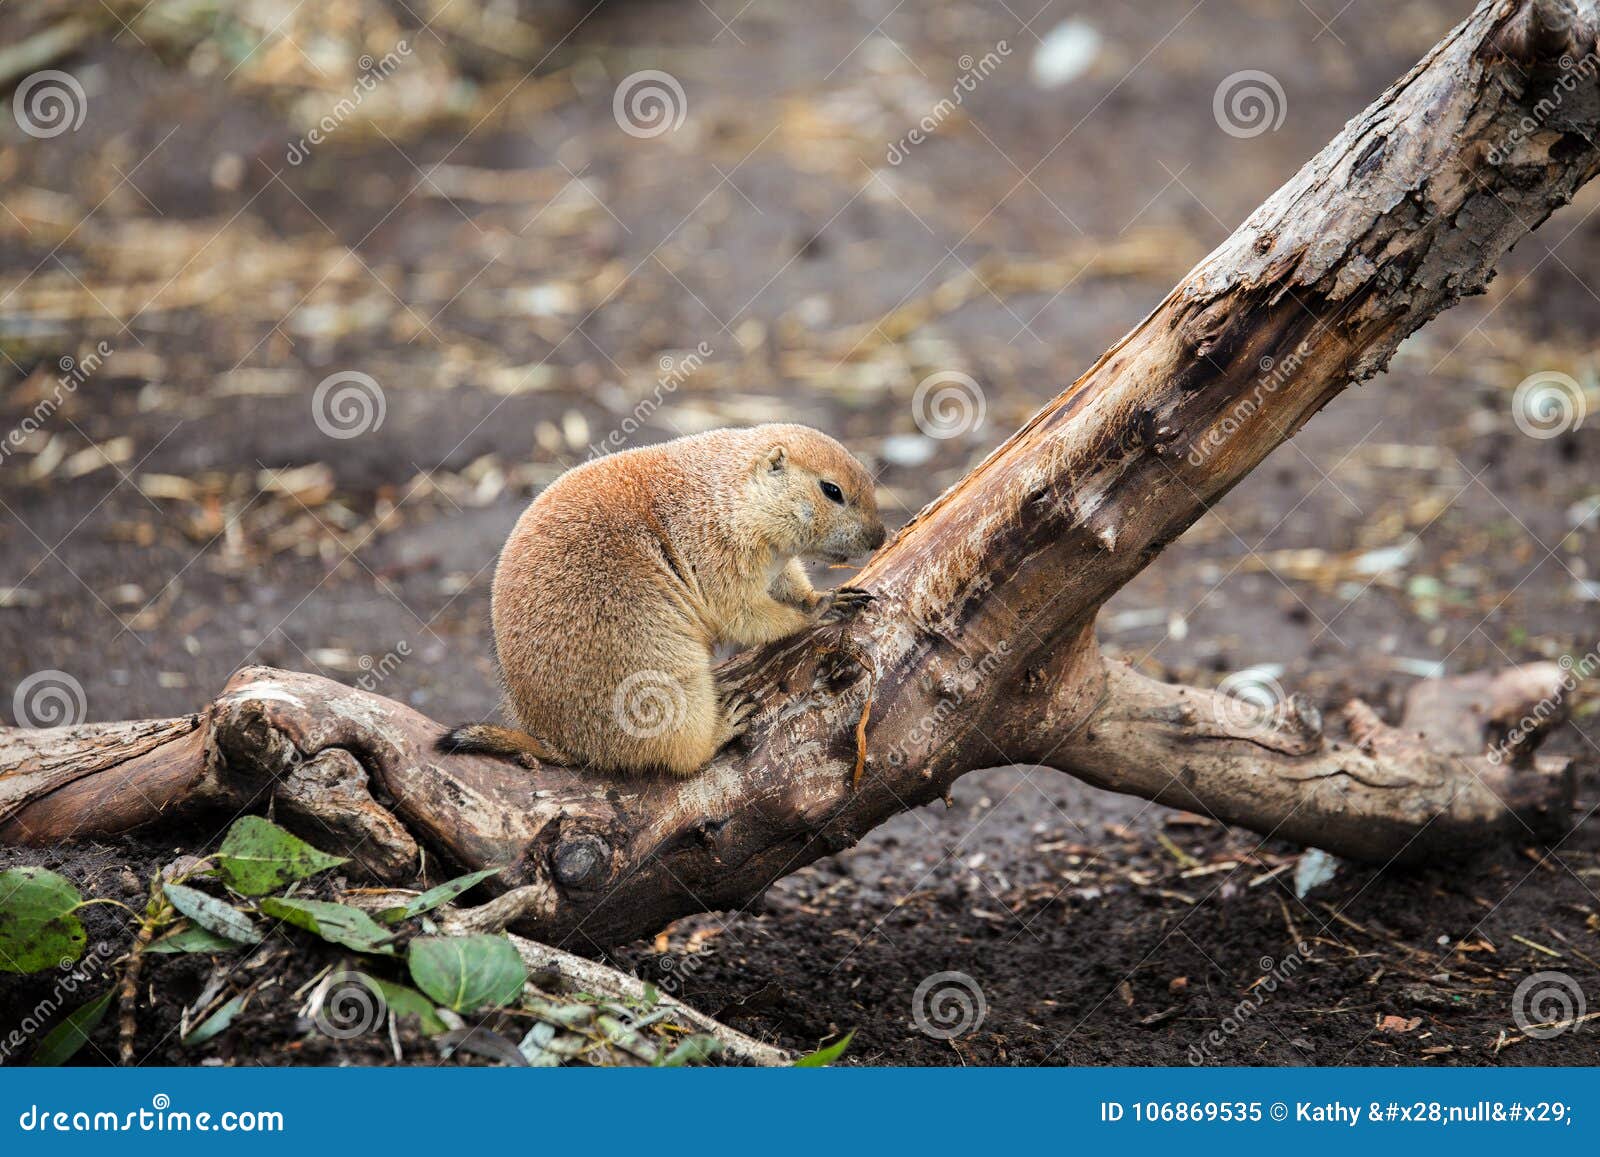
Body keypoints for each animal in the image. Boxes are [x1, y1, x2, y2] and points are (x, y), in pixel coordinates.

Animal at [438, 424, 887, 776]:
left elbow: (787, 584)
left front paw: (828, 594)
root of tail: (559, 743)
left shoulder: (775, 561)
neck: (732, 495)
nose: (881, 537)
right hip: (660, 679)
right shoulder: (721, 551)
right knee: (680, 755)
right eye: (832, 490)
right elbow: (744, 612)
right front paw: (822, 609)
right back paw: (726, 723)